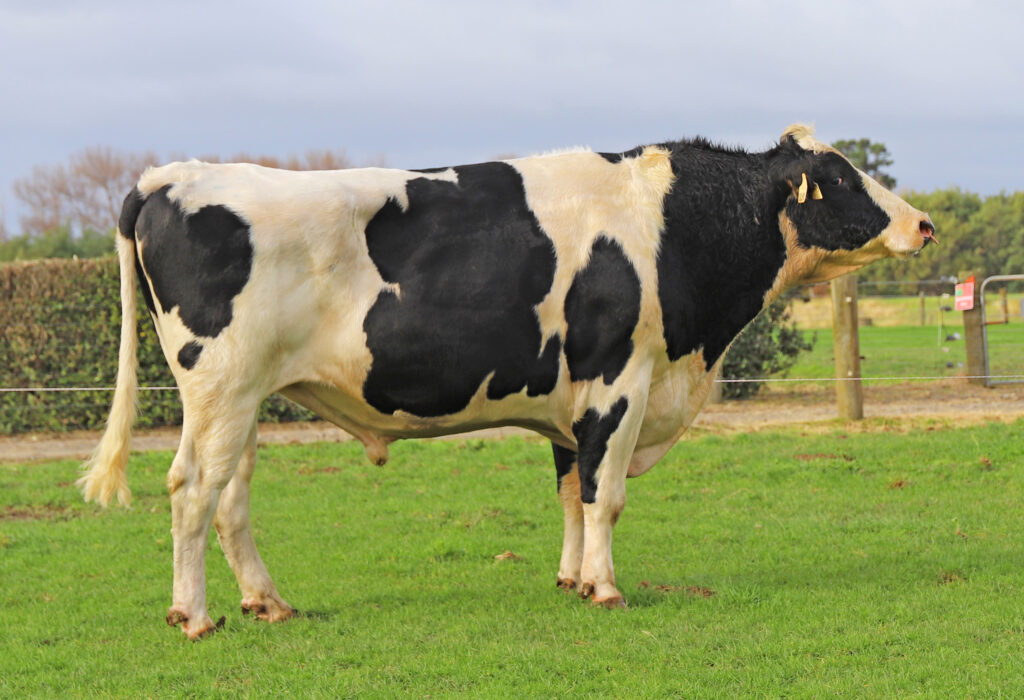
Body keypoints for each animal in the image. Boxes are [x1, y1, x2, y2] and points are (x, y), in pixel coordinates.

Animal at [79, 124, 935, 638]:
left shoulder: (573, 401)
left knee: (231, 498)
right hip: (220, 386)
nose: (923, 224)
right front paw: (607, 588)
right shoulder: (620, 379)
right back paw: (193, 616)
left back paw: (270, 602)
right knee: (192, 489)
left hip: (243, 399)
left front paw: (570, 580)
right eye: (843, 180)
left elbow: (569, 491)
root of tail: (168, 176)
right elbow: (605, 495)